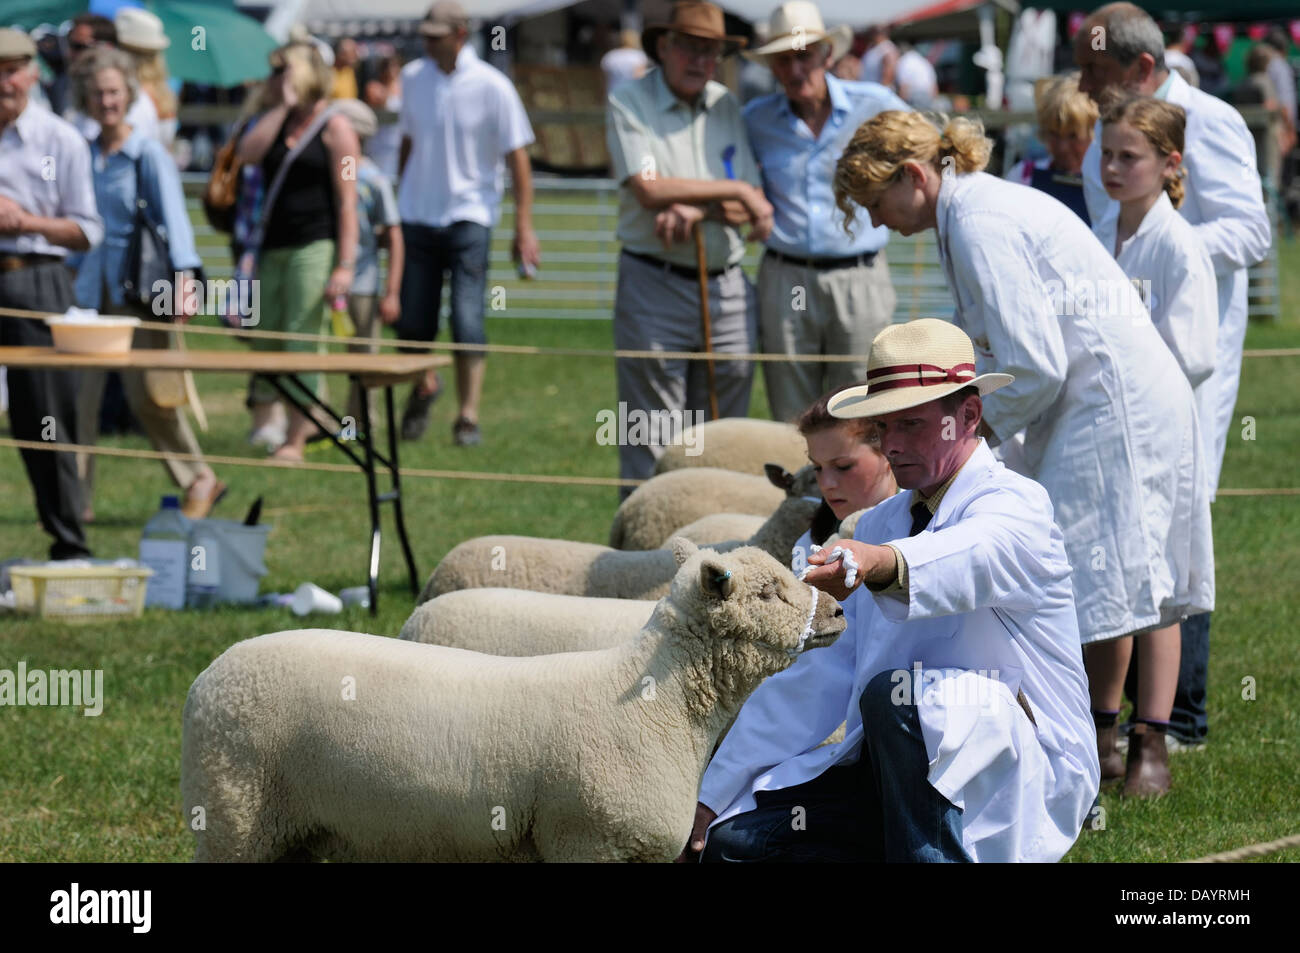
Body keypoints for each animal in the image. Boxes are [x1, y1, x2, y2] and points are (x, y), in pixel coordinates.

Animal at [180, 541, 847, 862]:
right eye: (766, 593)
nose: (840, 610)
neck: (658, 705)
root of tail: (208, 677)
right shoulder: (587, 841)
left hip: (291, 833)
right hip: (234, 818)